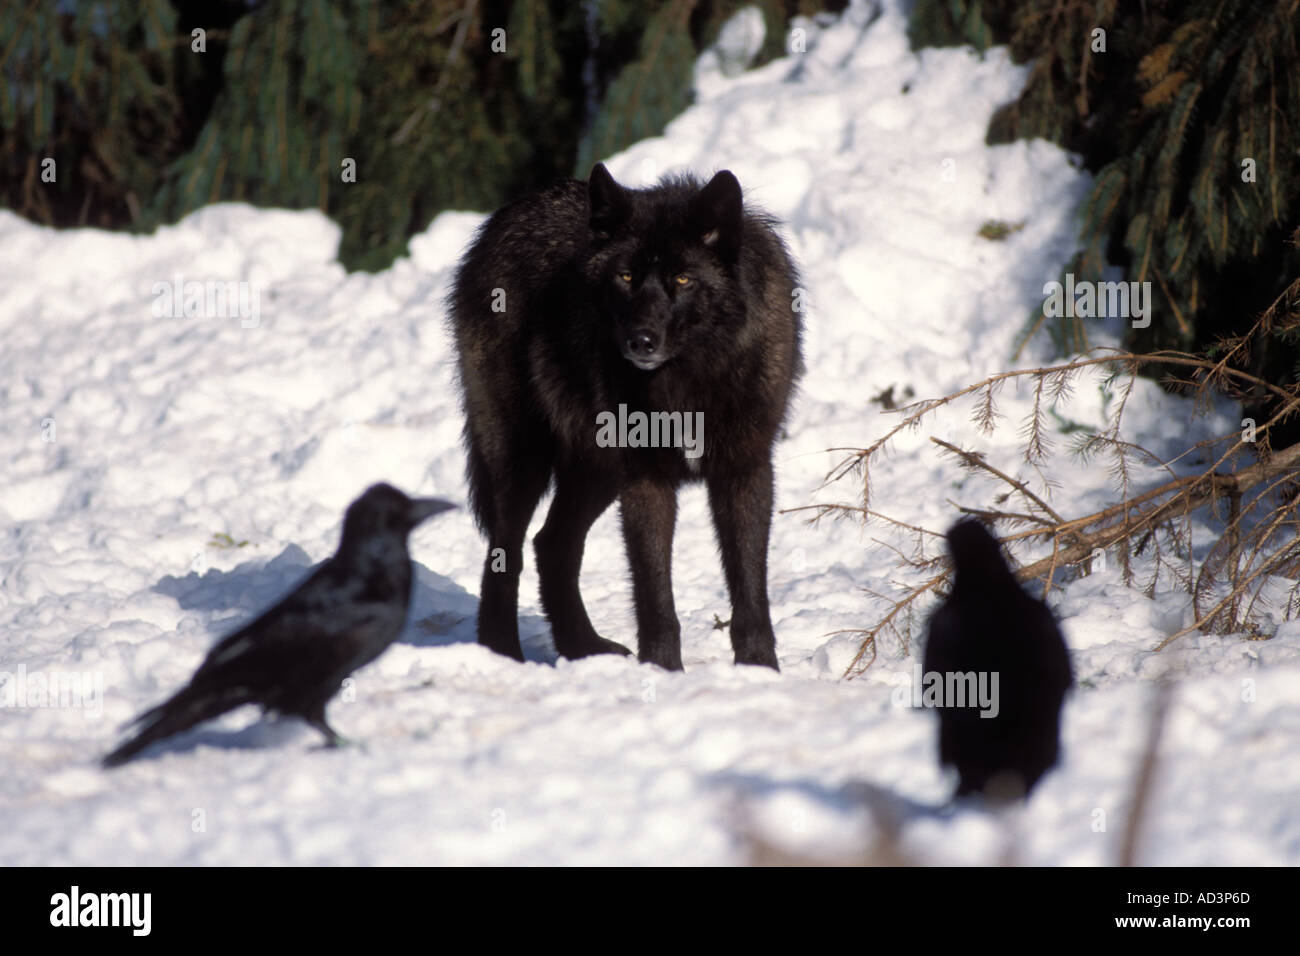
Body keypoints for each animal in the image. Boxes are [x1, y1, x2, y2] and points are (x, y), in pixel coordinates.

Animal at [449, 163, 802, 670]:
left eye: (682, 280)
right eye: (626, 276)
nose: (641, 341)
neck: (685, 383)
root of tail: (511, 211)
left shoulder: (745, 469)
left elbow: (751, 588)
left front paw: (759, 671)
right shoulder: (645, 478)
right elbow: (655, 595)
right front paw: (663, 670)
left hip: (594, 471)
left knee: (551, 543)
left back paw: (583, 649)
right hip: (522, 460)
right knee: (506, 551)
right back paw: (503, 654)